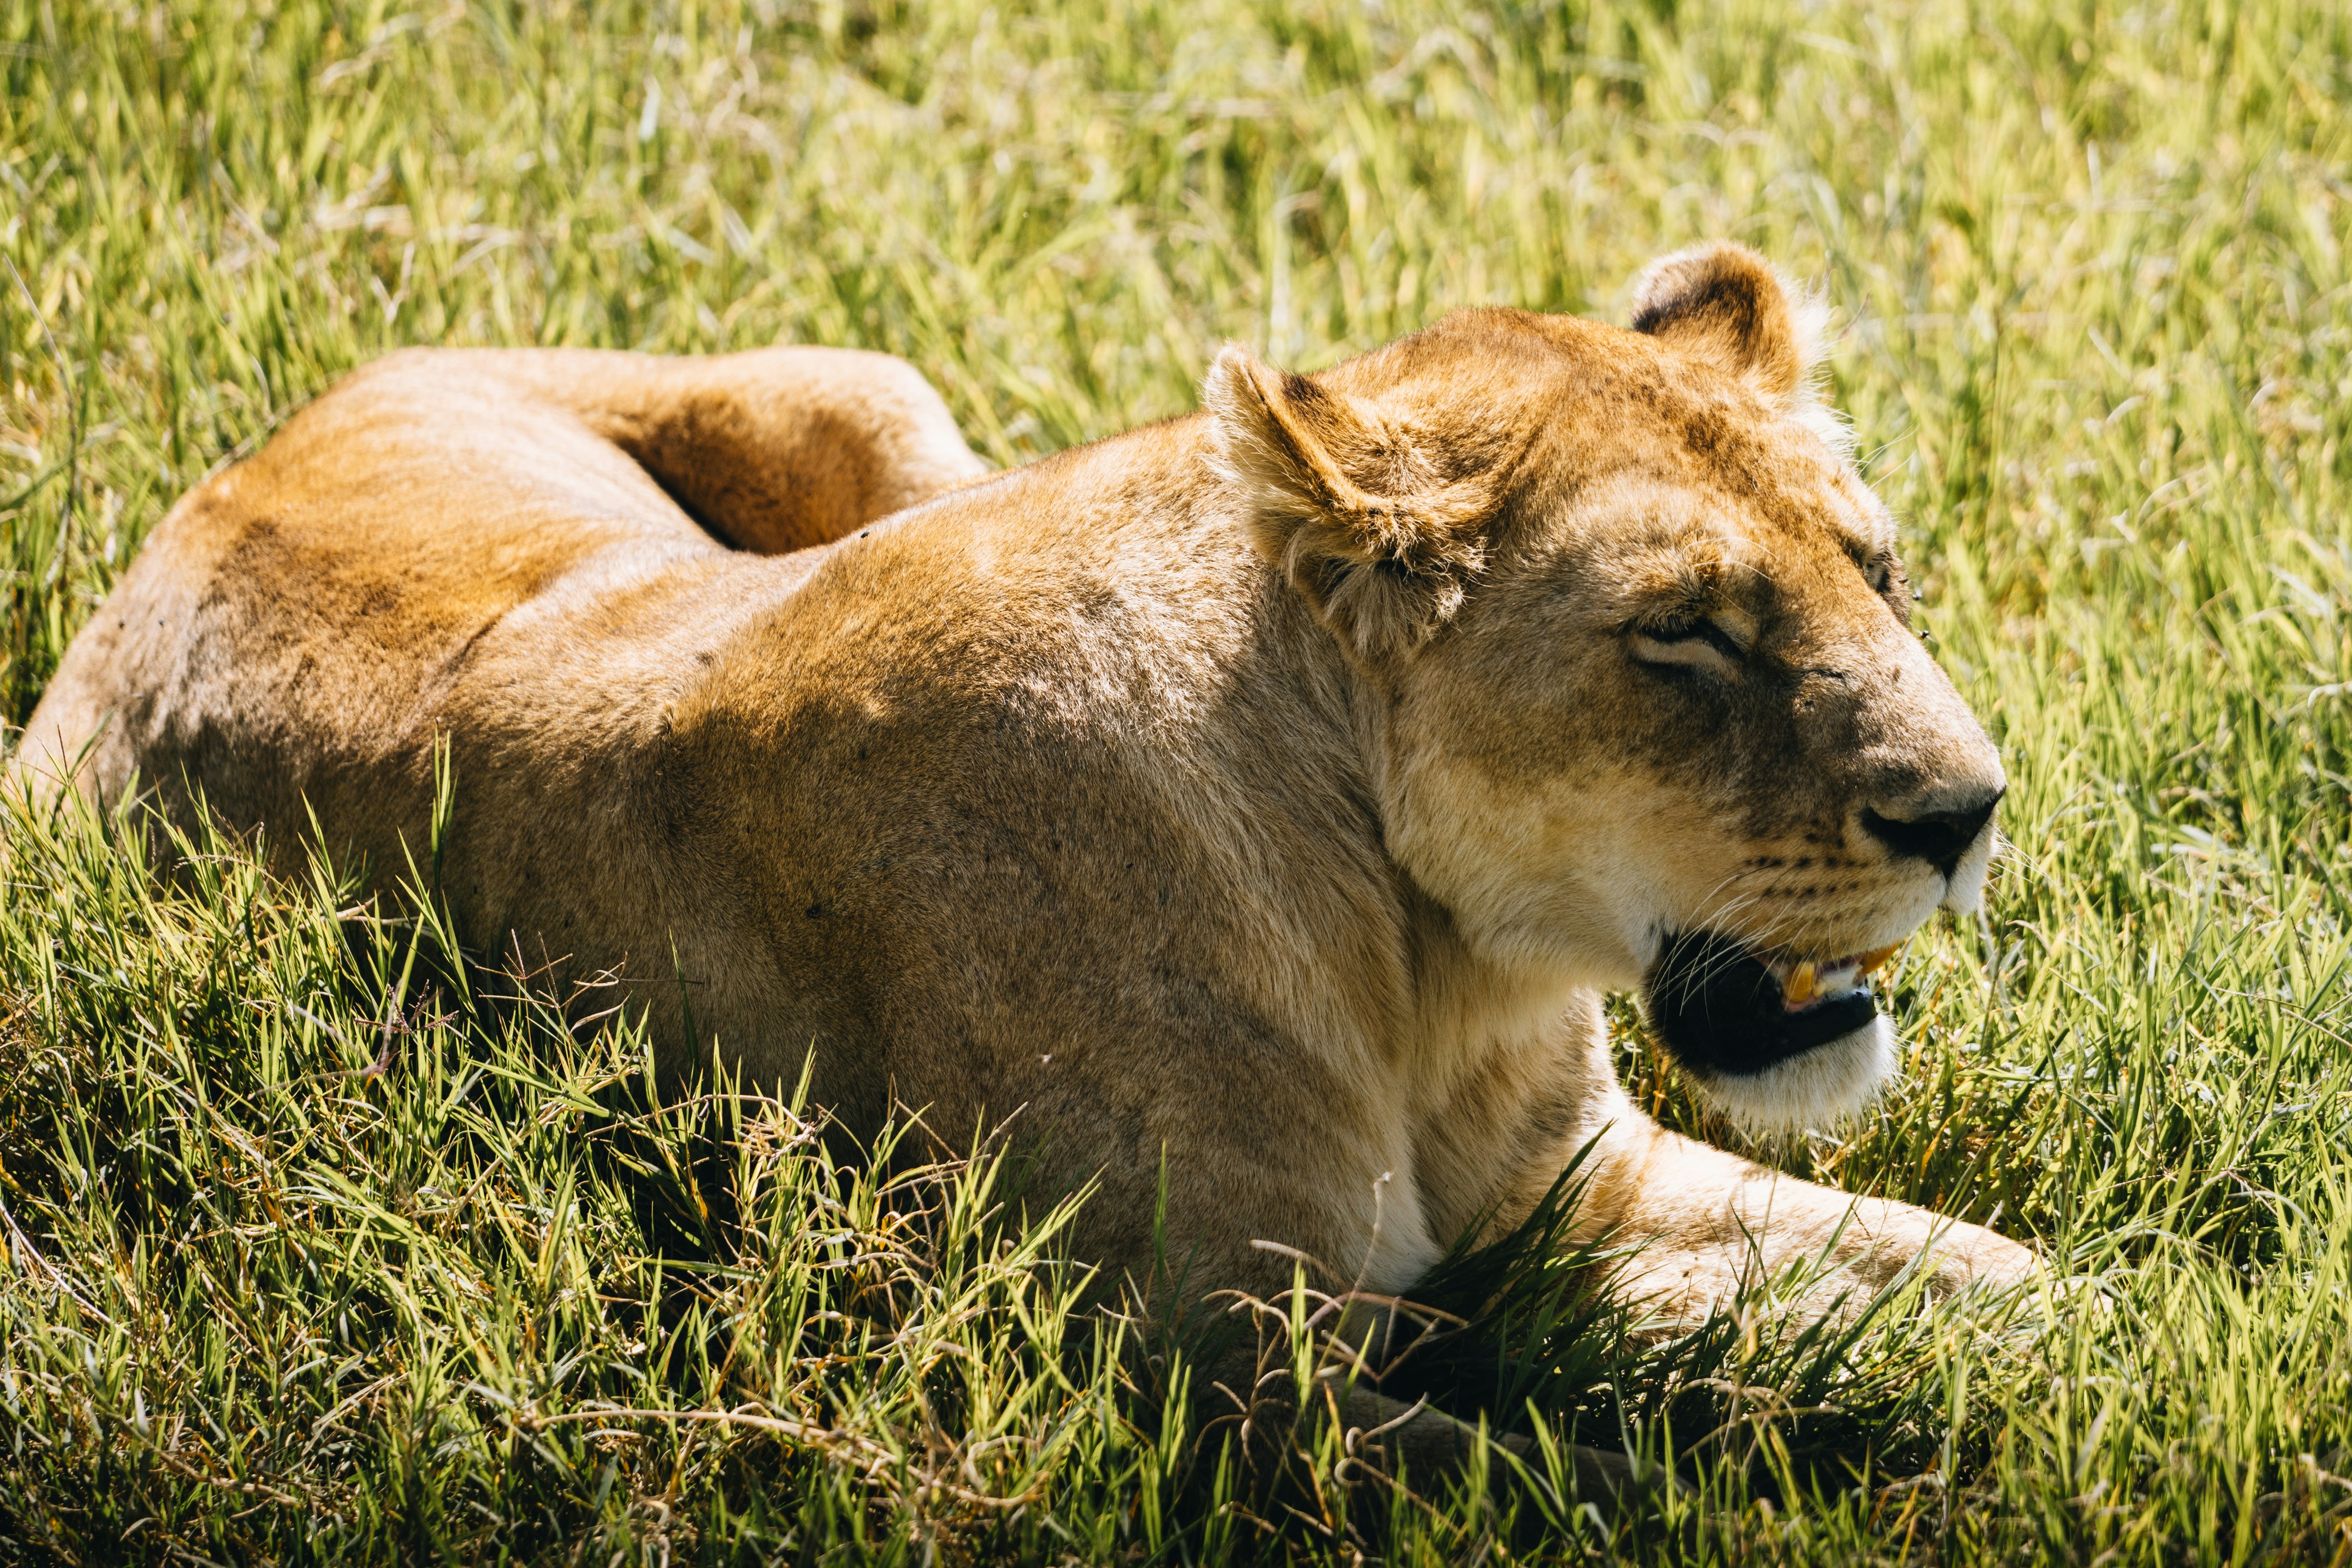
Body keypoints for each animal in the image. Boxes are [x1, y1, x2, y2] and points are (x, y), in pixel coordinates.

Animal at [11, 244, 2038, 1492]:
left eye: (1877, 568)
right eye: (1681, 630)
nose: (1969, 813)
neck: (1436, 969)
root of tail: (222, 474)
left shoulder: (1571, 1184)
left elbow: (1975, 1270)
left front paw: (2077, 1351)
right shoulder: (1226, 1382)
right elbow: (1613, 1477)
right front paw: (1933, 1462)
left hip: (891, 406)